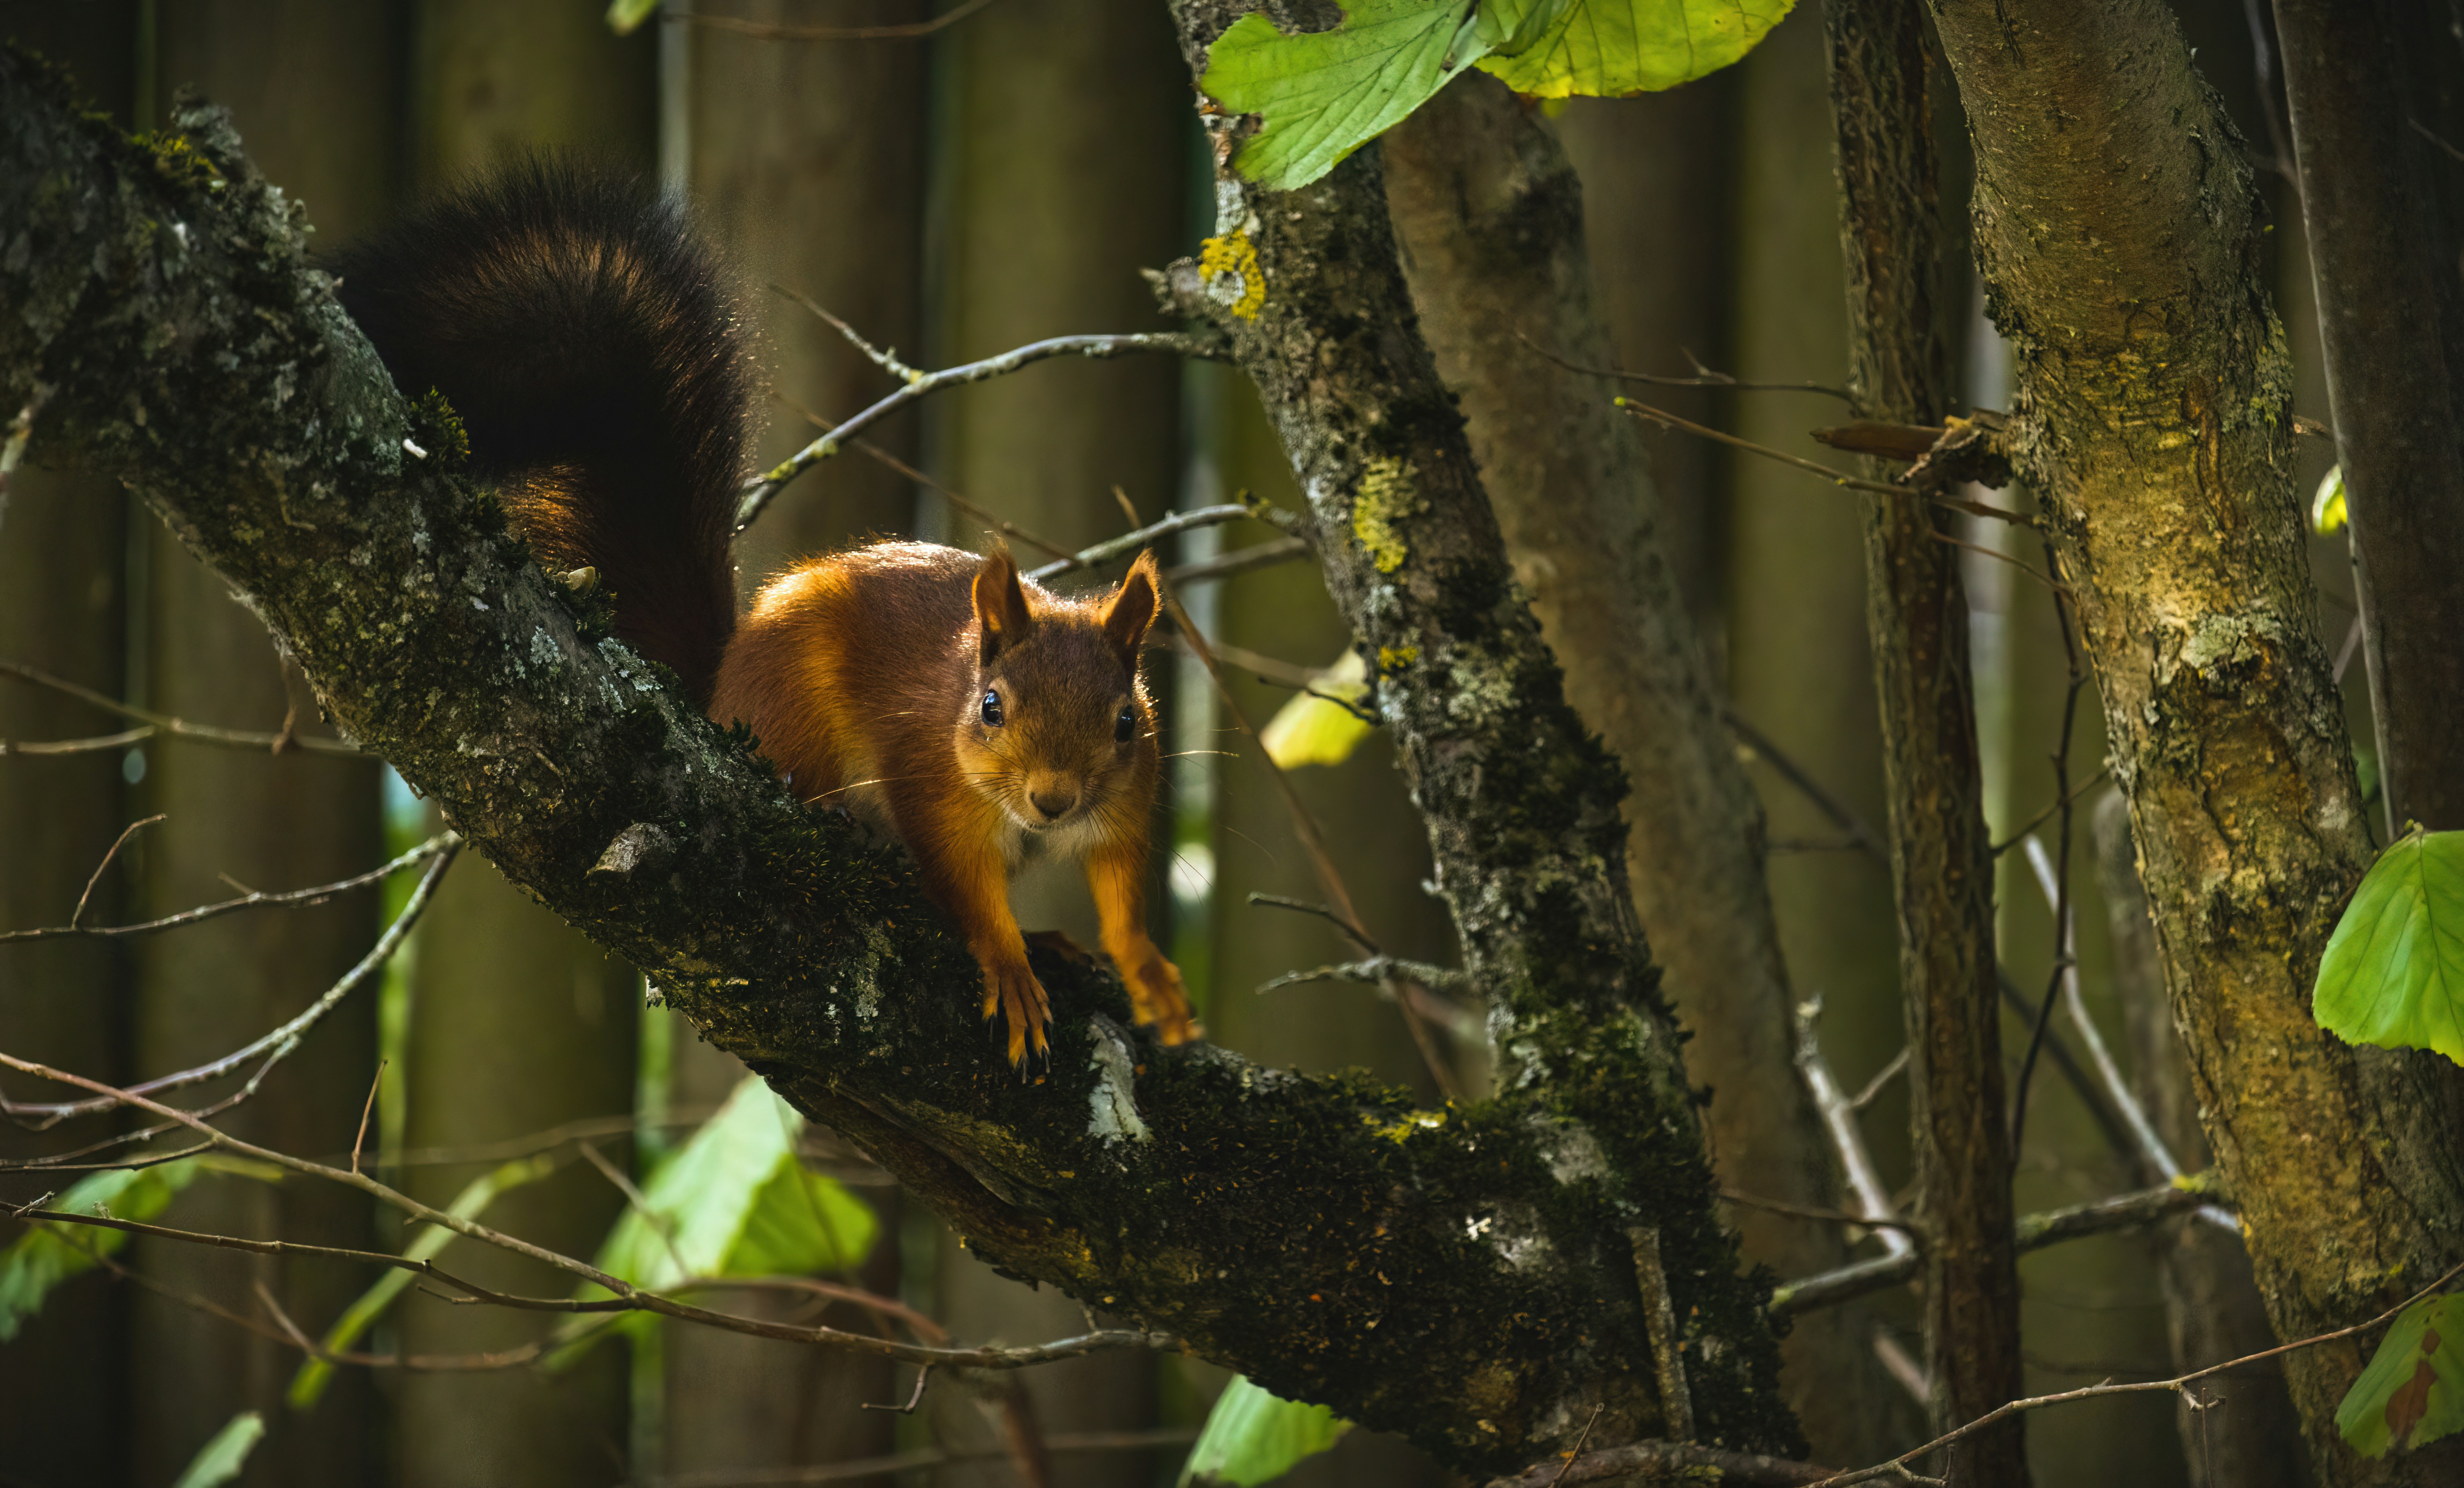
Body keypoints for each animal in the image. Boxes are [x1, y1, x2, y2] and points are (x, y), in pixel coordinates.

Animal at [332, 160, 1200, 1067]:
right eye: (992, 707)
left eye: (1128, 722)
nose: (1054, 800)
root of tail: (717, 694)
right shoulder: (930, 776)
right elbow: (962, 885)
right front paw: (1006, 962)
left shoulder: (1126, 797)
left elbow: (1120, 879)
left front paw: (1144, 968)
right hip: (793, 717)